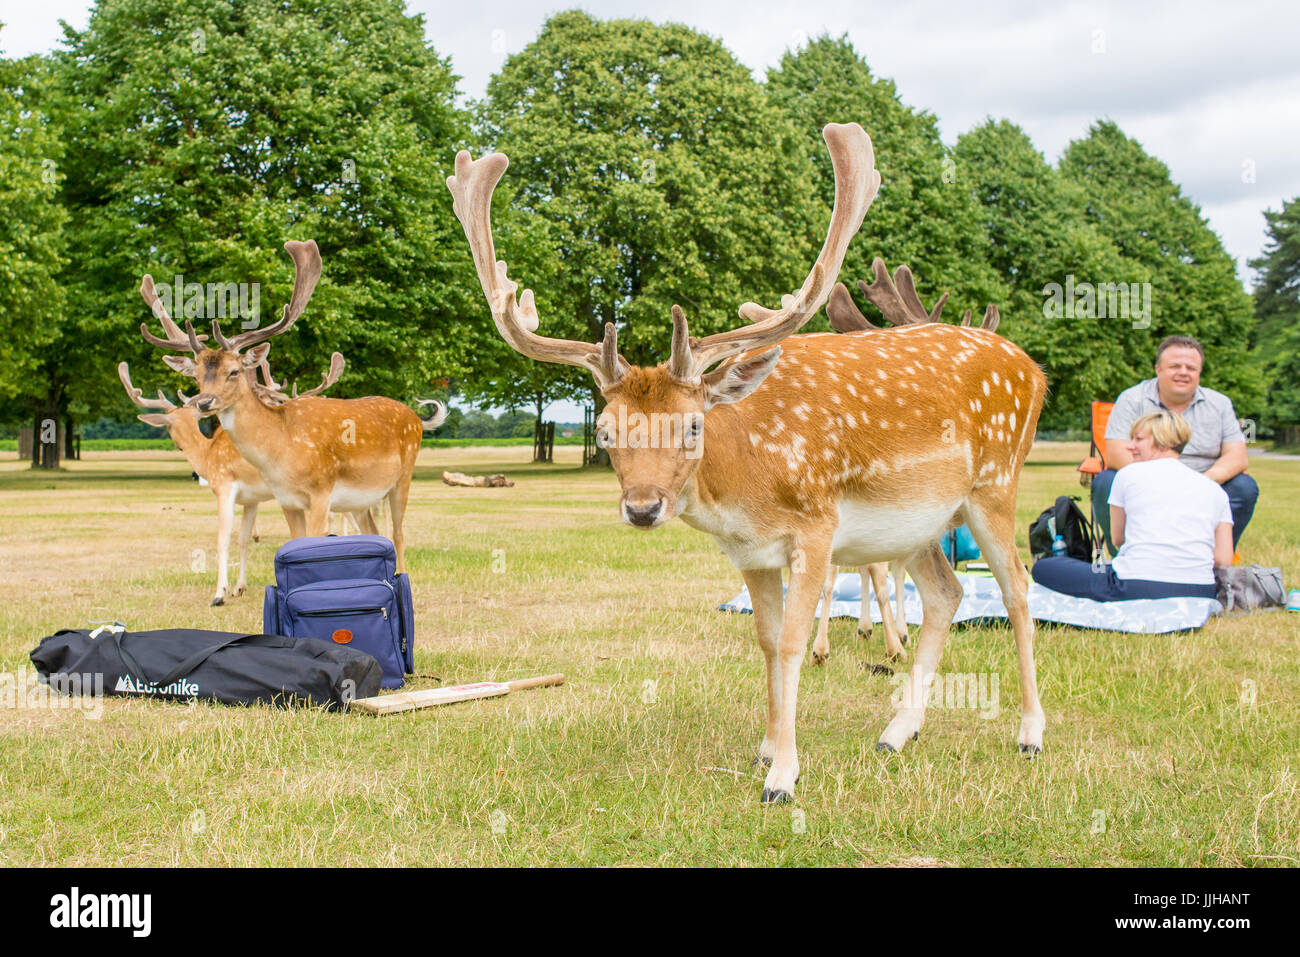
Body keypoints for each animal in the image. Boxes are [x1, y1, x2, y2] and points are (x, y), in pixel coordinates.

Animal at [136, 240, 447, 572]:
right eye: (196, 376)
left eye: (233, 371)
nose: (204, 402)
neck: (281, 451)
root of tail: (416, 417)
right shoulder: (287, 500)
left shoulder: (321, 493)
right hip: (361, 499)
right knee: (376, 531)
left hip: (403, 477)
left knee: (399, 535)